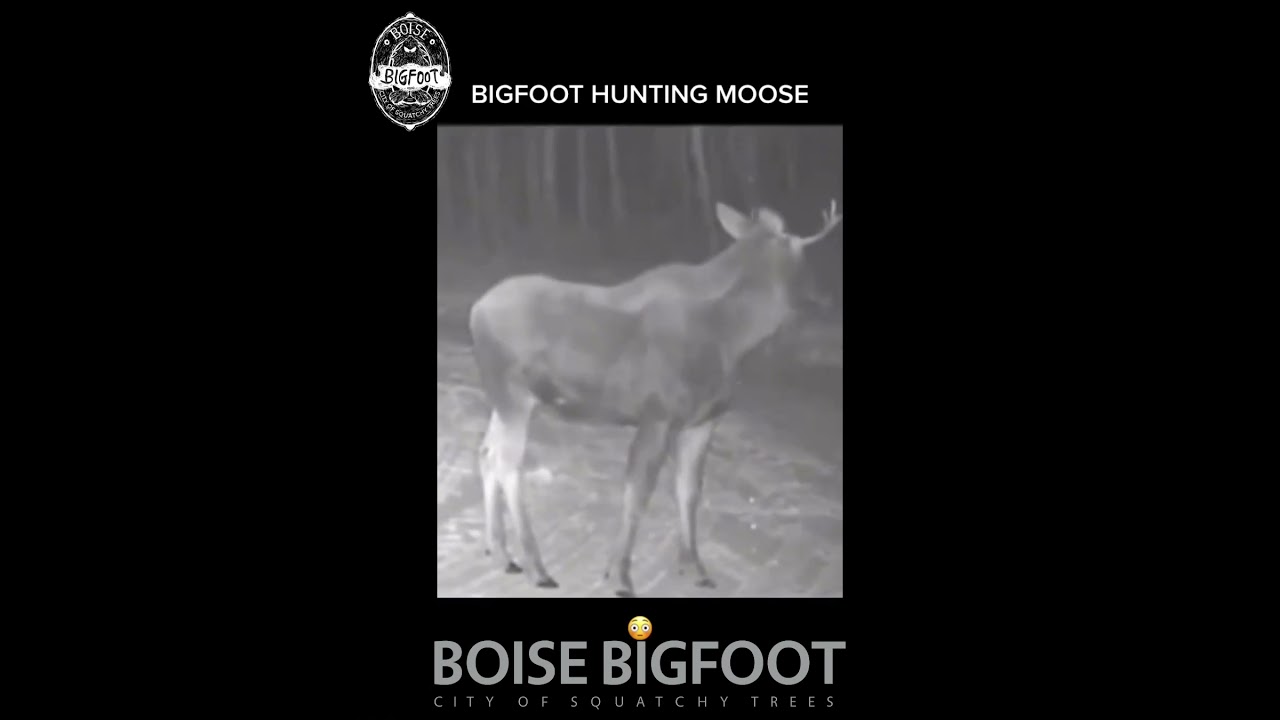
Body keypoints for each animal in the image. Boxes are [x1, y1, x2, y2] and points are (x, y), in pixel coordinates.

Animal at [467, 198, 842, 597]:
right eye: (803, 252)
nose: (827, 296)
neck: (734, 335)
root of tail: (475, 311)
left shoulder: (702, 421)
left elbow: (688, 491)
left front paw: (695, 568)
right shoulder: (658, 413)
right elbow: (639, 492)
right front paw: (619, 575)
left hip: (503, 401)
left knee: (487, 453)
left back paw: (500, 552)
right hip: (514, 396)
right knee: (507, 464)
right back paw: (536, 567)